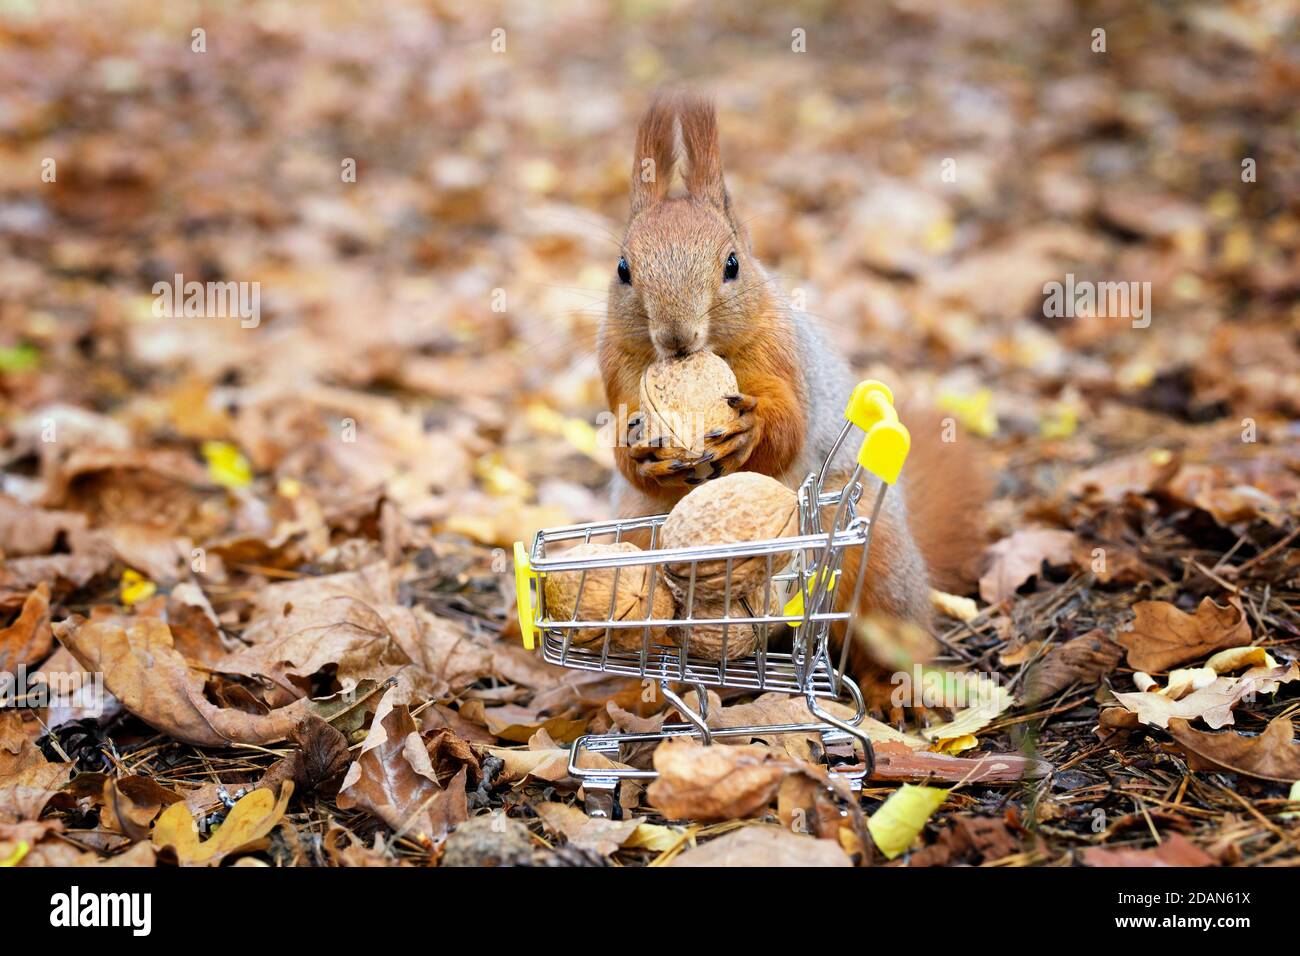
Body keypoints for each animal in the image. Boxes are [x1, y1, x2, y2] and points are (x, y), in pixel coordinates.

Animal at [598, 92, 989, 651]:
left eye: (733, 264)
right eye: (623, 269)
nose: (676, 338)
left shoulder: (780, 354)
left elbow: (788, 429)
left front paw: (747, 429)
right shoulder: (616, 371)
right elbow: (622, 441)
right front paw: (642, 452)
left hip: (877, 553)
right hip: (635, 531)